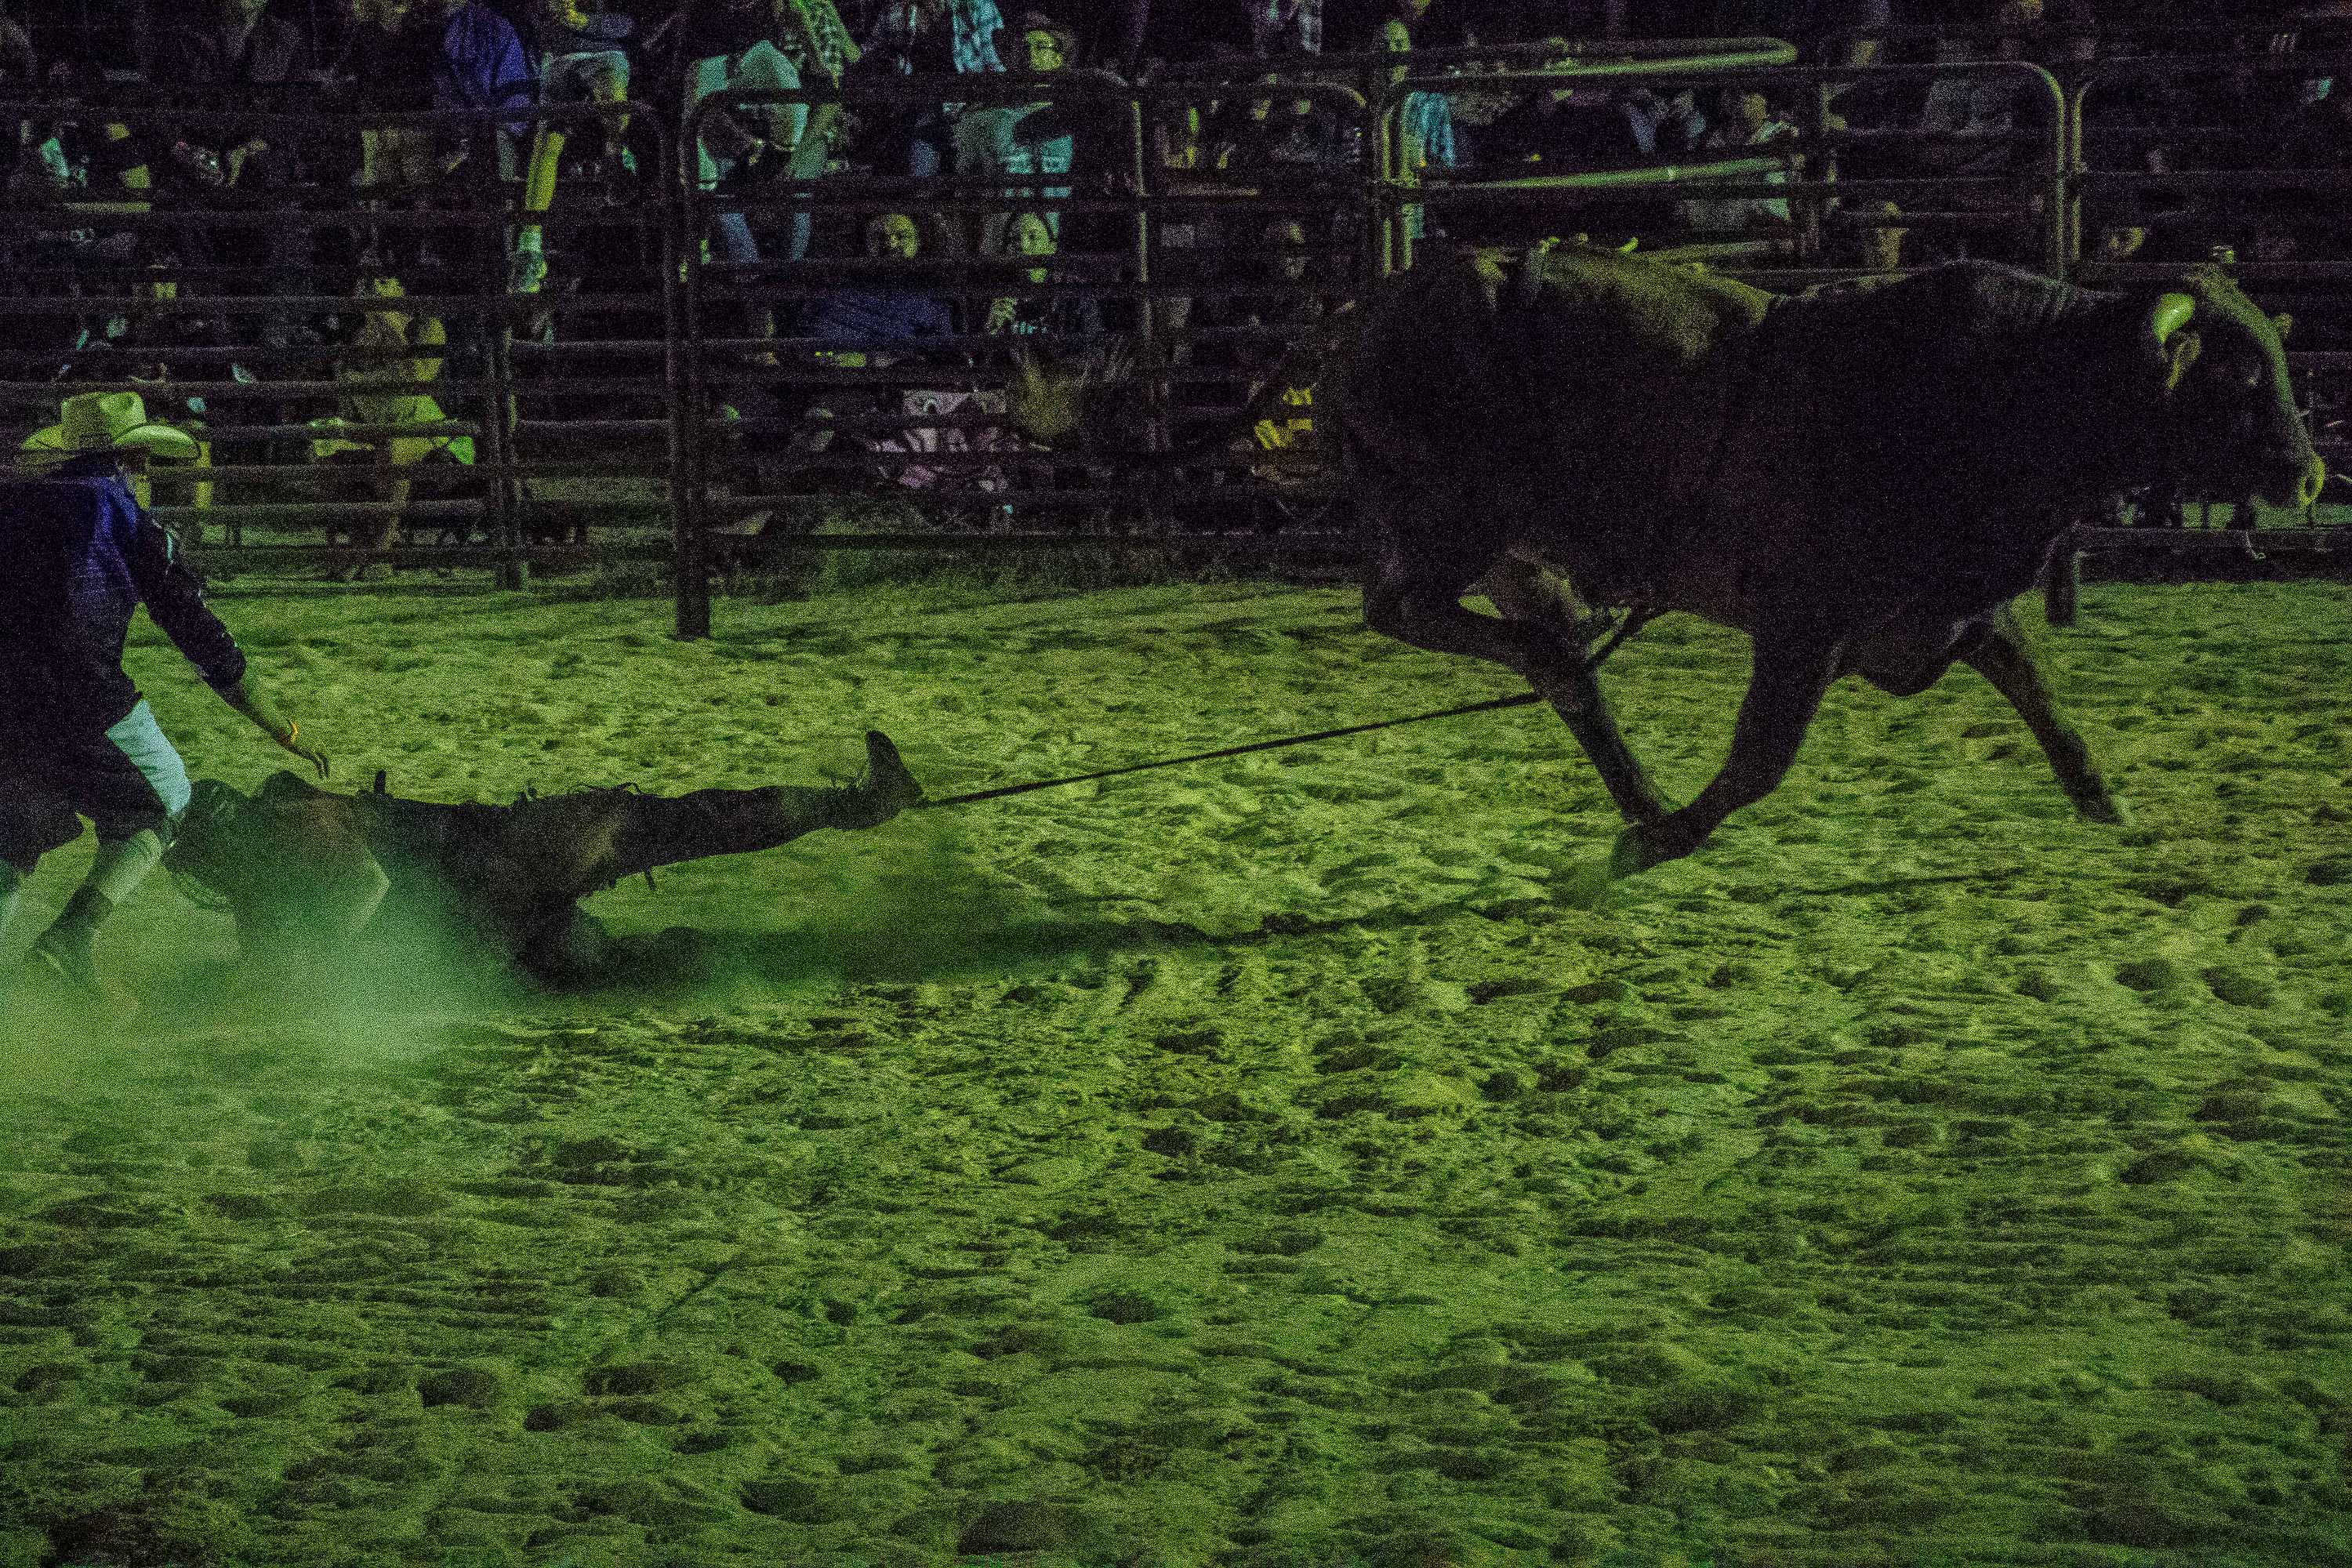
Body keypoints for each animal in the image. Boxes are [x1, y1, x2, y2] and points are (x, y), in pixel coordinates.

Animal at [1013, 245, 2324, 886]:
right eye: (2235, 374)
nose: (2310, 476)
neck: (2005, 388)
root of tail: (1367, 311)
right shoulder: (1801, 625)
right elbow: (1758, 764)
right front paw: (1661, 845)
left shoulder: (1948, 607)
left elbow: (2042, 698)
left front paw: (2107, 806)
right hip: (1445, 518)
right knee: (1402, 606)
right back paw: (1588, 715)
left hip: (1507, 544)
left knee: (1551, 668)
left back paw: (1601, 726)